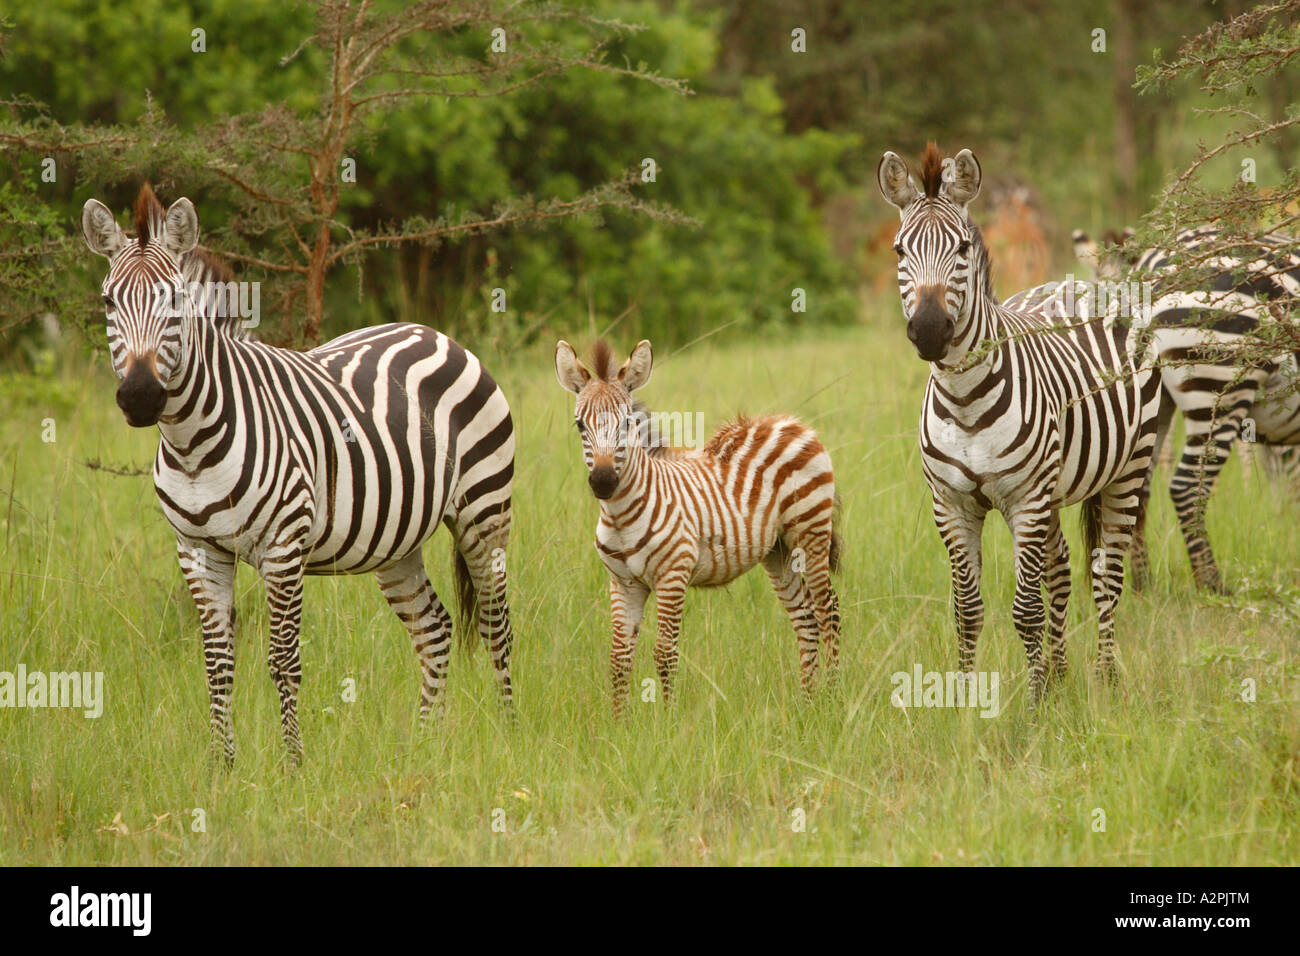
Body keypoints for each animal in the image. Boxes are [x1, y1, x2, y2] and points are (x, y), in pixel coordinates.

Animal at [81, 184, 516, 766]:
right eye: (109, 302)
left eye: (175, 301)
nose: (139, 397)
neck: (191, 444)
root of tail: (435, 333)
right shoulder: (196, 550)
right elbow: (217, 664)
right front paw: (223, 767)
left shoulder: (283, 547)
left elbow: (283, 661)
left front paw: (293, 766)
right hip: (397, 542)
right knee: (435, 631)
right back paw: (425, 746)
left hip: (484, 514)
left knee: (496, 628)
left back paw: (511, 733)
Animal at [554, 339, 841, 716]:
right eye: (579, 426)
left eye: (627, 423)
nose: (603, 482)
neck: (620, 517)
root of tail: (790, 422)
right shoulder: (623, 583)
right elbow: (618, 659)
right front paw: (620, 723)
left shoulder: (673, 575)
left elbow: (665, 654)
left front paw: (668, 720)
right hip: (778, 551)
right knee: (805, 618)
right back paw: (806, 703)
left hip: (811, 533)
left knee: (828, 611)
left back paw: (835, 696)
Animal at [877, 144, 1162, 703]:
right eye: (899, 252)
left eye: (963, 248)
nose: (929, 331)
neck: (964, 401)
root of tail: (1081, 283)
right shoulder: (952, 505)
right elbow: (967, 611)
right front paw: (966, 702)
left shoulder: (1024, 500)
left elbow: (1025, 611)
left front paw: (1032, 707)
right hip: (1053, 491)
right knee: (1062, 569)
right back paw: (1060, 673)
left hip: (1128, 470)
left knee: (1107, 574)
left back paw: (1106, 676)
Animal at [1073, 225, 1300, 592]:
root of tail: (1147, 272)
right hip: (1218, 380)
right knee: (1187, 486)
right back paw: (1212, 584)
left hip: (1154, 400)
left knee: (1138, 489)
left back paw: (1144, 584)